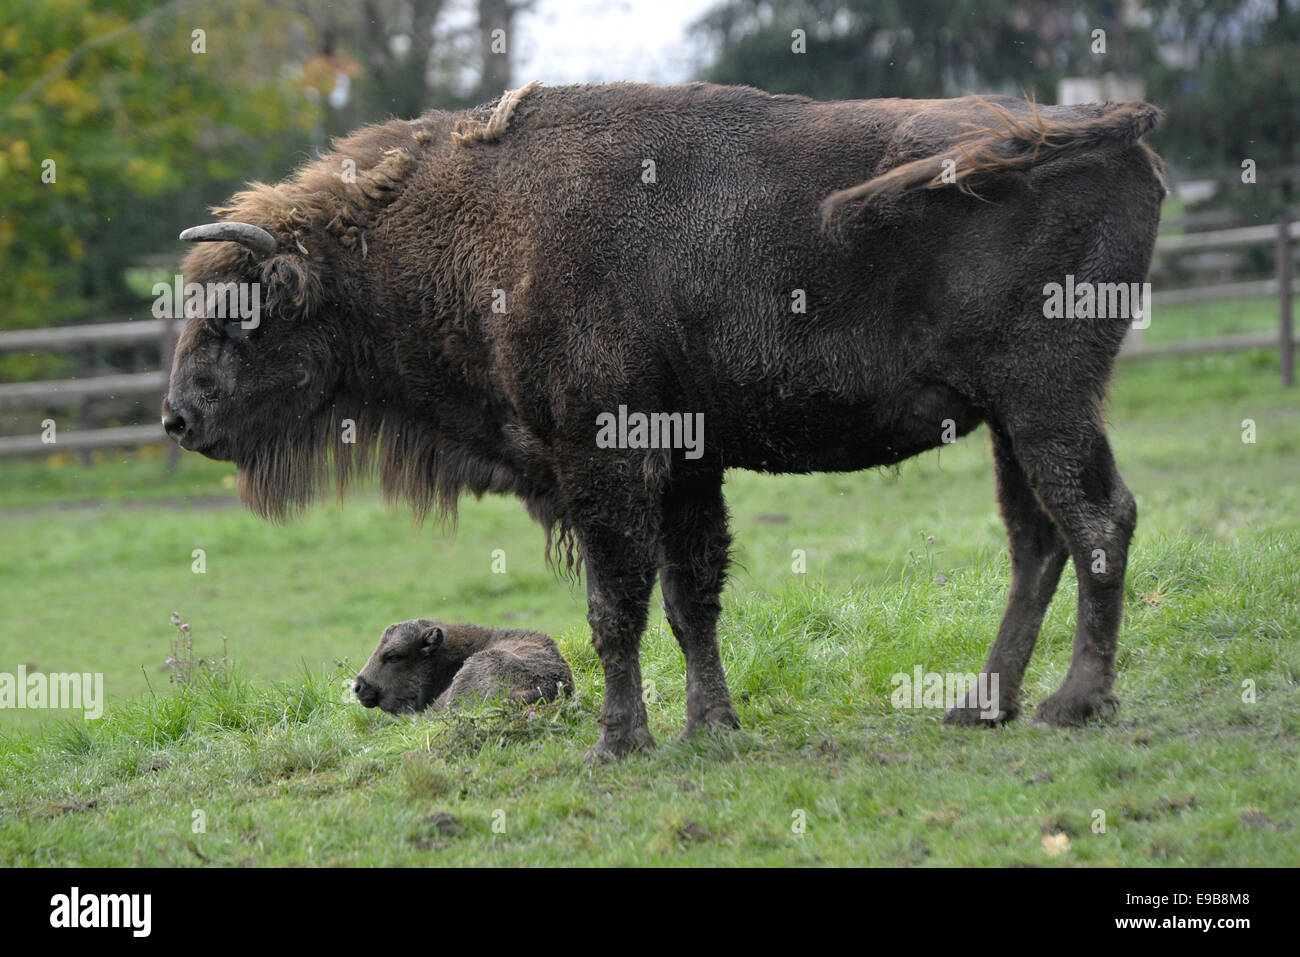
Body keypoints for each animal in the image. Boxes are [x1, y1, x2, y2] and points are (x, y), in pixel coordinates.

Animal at [164, 81, 1166, 761]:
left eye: (240, 316)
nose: (178, 419)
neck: (477, 225)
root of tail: (1114, 131)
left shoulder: (603, 461)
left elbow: (618, 608)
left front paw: (620, 742)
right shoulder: (687, 467)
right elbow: (692, 603)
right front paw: (711, 726)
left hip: (1044, 399)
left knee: (1096, 520)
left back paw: (1075, 701)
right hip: (1009, 416)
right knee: (1039, 538)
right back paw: (982, 703)